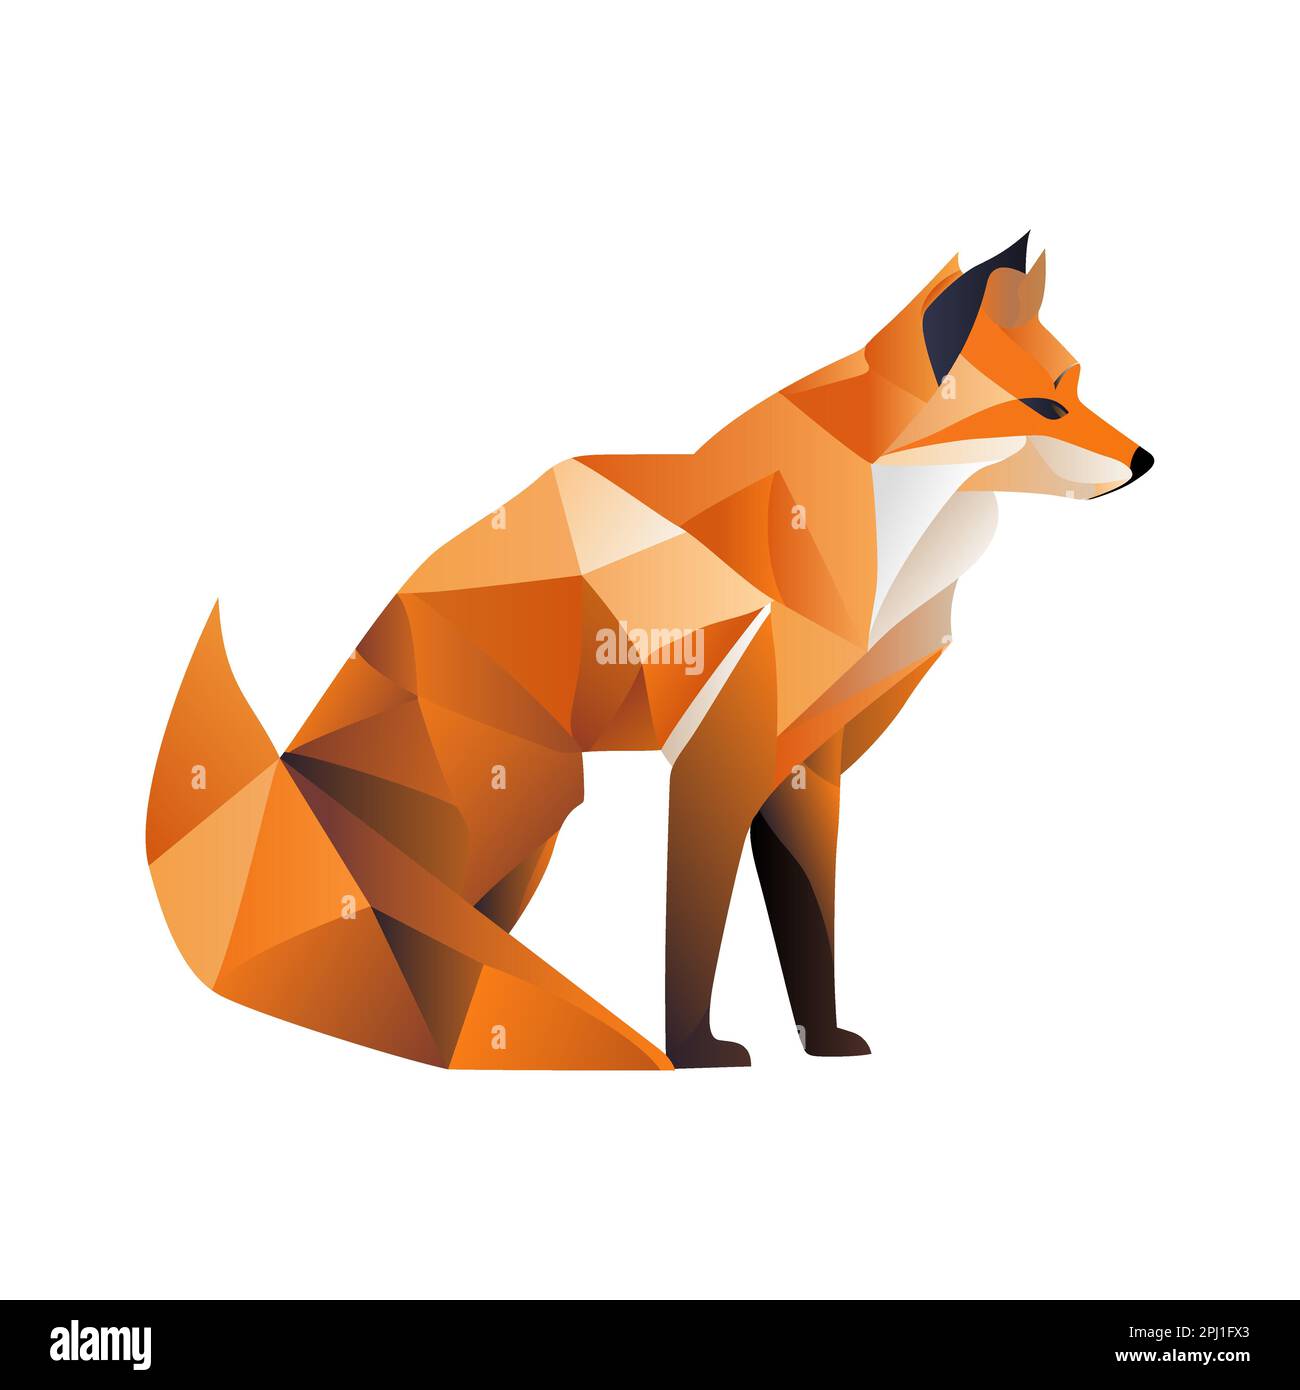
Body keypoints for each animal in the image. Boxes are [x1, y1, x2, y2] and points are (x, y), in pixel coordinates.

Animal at [146, 234, 1152, 1070]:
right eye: (1042, 404)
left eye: (1078, 383)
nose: (1144, 461)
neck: (881, 550)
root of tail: (292, 756)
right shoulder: (716, 756)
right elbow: (693, 932)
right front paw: (694, 1052)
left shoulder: (809, 768)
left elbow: (812, 933)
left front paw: (824, 1042)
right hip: (524, 803)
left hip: (527, 837)